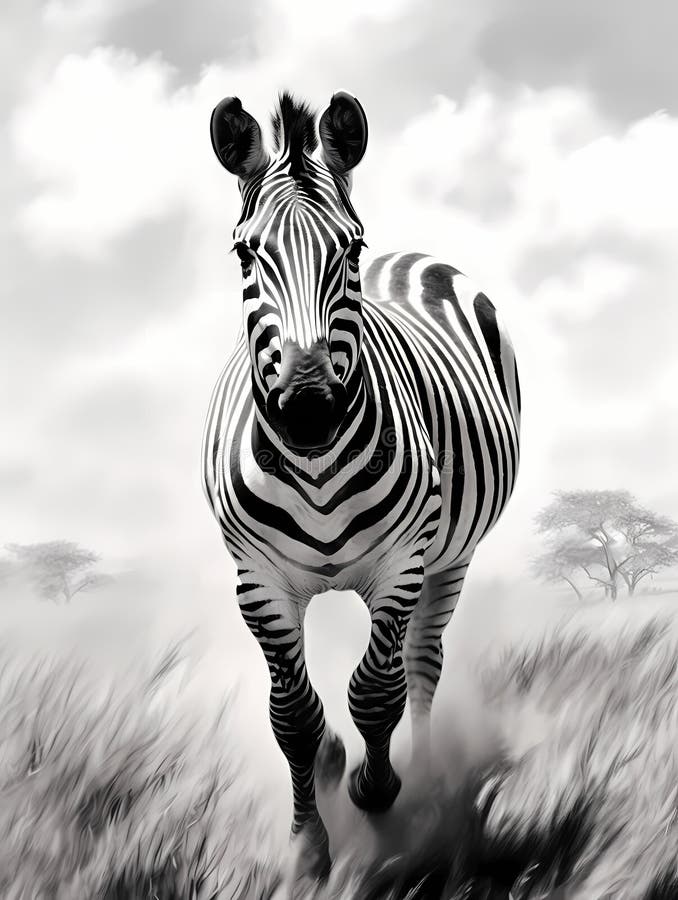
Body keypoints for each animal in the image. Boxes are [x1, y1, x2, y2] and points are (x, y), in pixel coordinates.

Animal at [202, 91, 521, 879]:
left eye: (348, 248)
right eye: (246, 252)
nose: (309, 409)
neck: (316, 467)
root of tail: (407, 257)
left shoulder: (401, 564)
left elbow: (376, 692)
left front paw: (375, 793)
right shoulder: (256, 579)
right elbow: (293, 717)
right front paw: (308, 846)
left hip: (451, 556)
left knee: (422, 665)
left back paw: (429, 779)